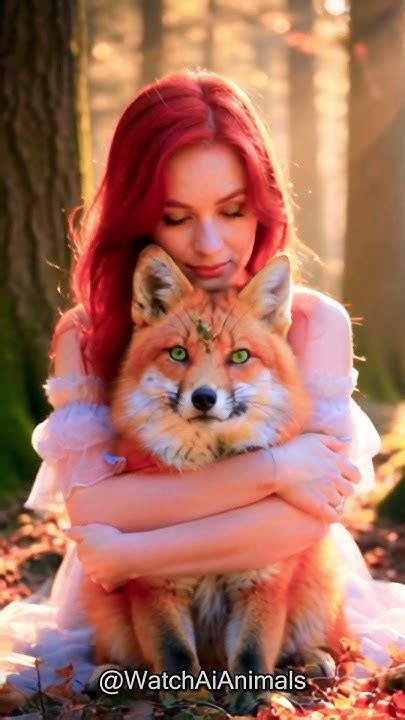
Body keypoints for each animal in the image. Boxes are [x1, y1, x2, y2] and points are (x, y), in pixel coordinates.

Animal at [82, 245, 350, 714]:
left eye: (239, 357)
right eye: (178, 354)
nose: (204, 397)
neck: (212, 466)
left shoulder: (264, 578)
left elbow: (252, 653)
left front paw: (254, 701)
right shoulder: (151, 582)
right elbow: (174, 656)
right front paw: (192, 703)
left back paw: (310, 661)